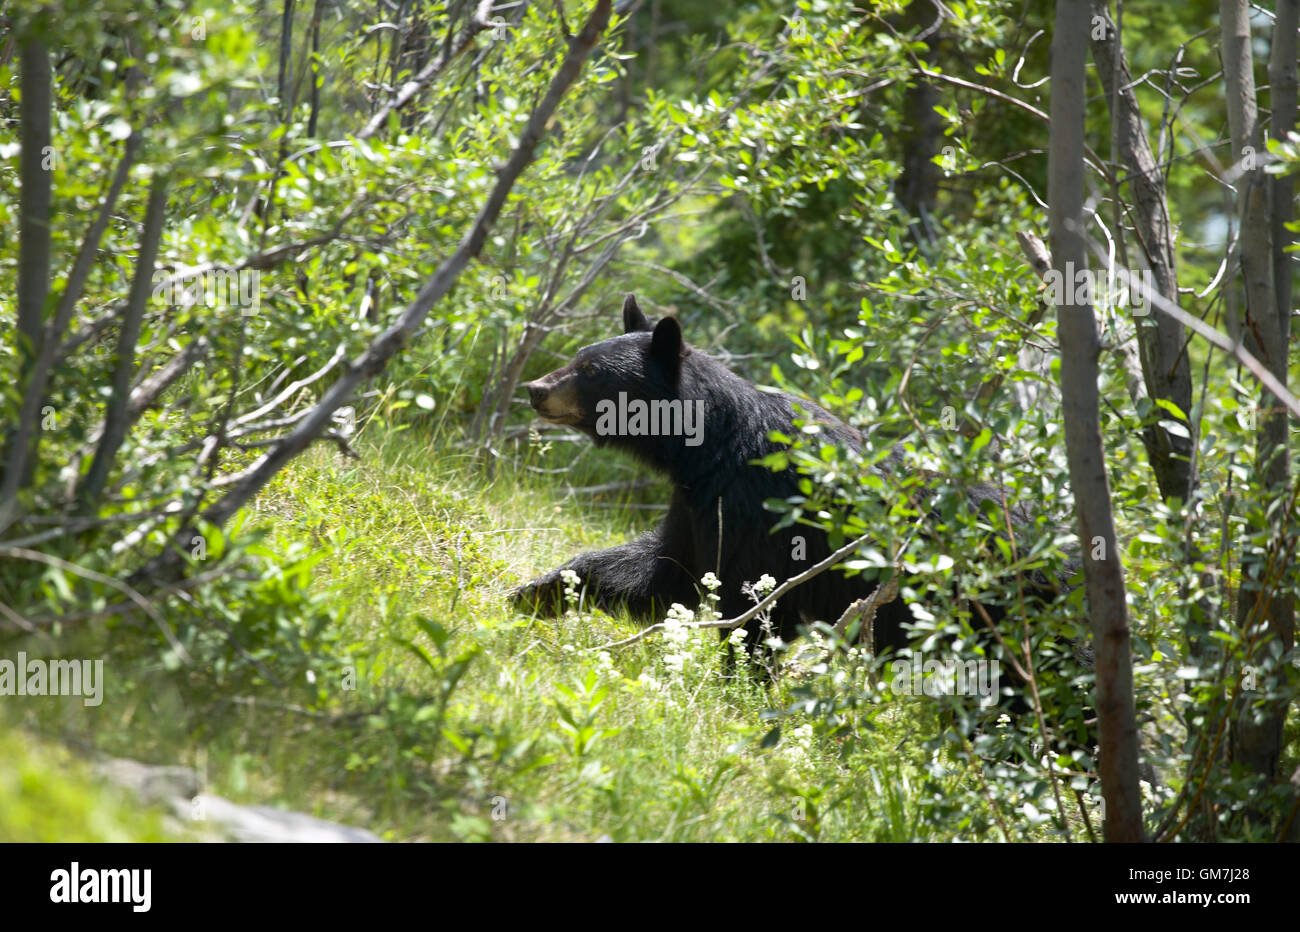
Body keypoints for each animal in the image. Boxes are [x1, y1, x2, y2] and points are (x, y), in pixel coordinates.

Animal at [512, 294, 1070, 665]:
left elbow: (753, 602)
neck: (708, 447)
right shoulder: (695, 500)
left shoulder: (761, 509)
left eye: (590, 370)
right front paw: (537, 592)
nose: (535, 388)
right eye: (579, 358)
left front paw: (740, 686)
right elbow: (666, 568)